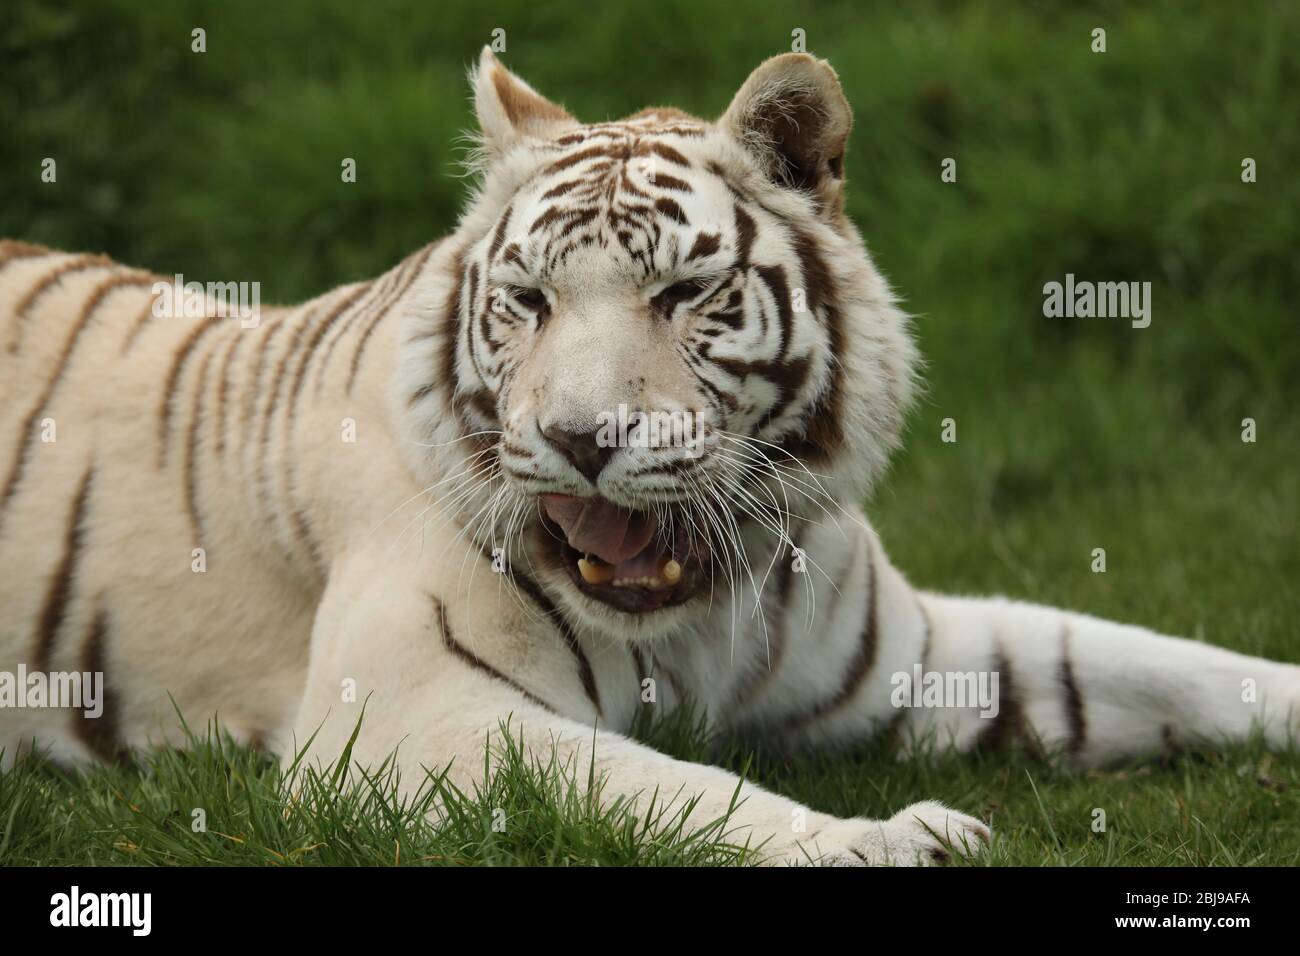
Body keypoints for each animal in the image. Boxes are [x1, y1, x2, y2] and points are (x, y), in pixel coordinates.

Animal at [2, 48, 1298, 866]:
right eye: (527, 300)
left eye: (682, 294)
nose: (580, 440)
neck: (703, 604)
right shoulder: (409, 711)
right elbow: (667, 786)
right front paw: (884, 838)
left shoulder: (914, 653)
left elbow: (1153, 662)